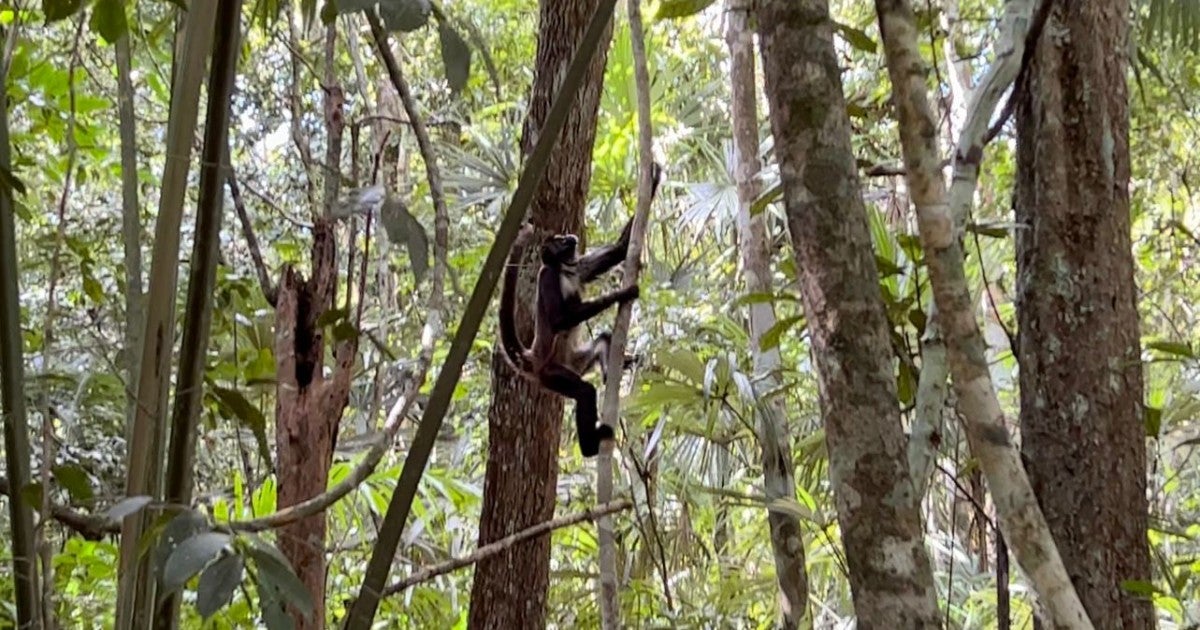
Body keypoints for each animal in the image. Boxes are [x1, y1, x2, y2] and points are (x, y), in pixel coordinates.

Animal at [499, 164, 662, 458]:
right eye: (560, 241)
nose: (570, 237)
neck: (565, 270)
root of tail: (534, 357)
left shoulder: (578, 267)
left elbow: (620, 250)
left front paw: (653, 178)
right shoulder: (547, 275)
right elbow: (560, 319)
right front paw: (622, 293)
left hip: (577, 361)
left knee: (604, 340)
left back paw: (611, 372)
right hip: (552, 374)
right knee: (585, 391)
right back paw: (590, 447)